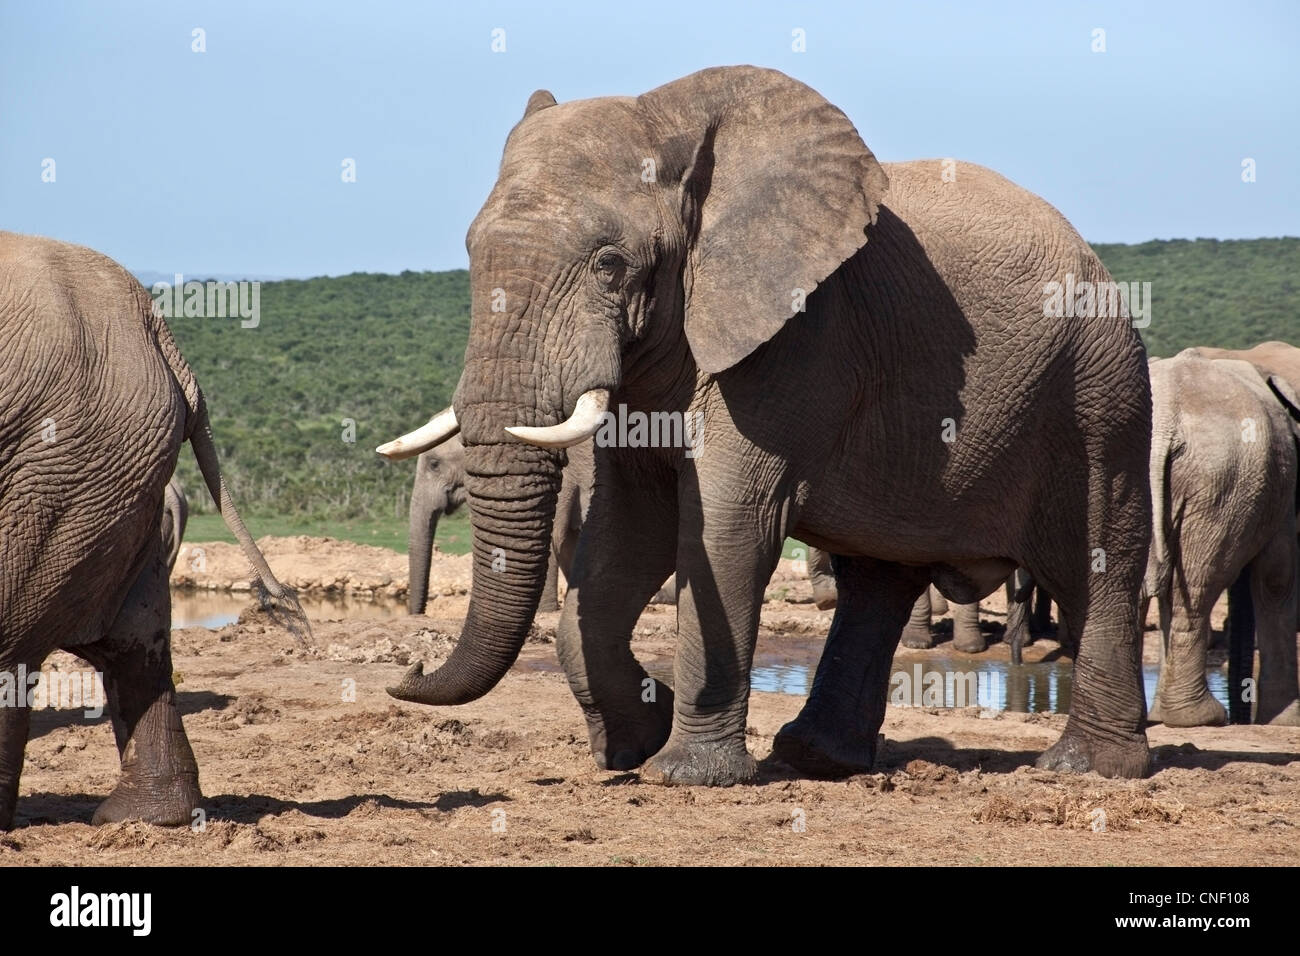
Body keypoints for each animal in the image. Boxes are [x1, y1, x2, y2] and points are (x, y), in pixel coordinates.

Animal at [378, 67, 1153, 785]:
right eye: (471, 252)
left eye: (609, 264)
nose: (406, 672)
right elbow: (627, 532)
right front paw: (630, 746)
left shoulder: (800, 339)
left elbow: (725, 524)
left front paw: (684, 774)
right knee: (879, 579)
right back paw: (815, 757)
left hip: (1100, 394)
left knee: (1099, 561)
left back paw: (1088, 769)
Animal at [1144, 351, 1300, 727]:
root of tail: (1165, 416)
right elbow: (1277, 577)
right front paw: (1285, 721)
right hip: (1221, 482)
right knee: (1197, 585)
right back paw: (1201, 717)